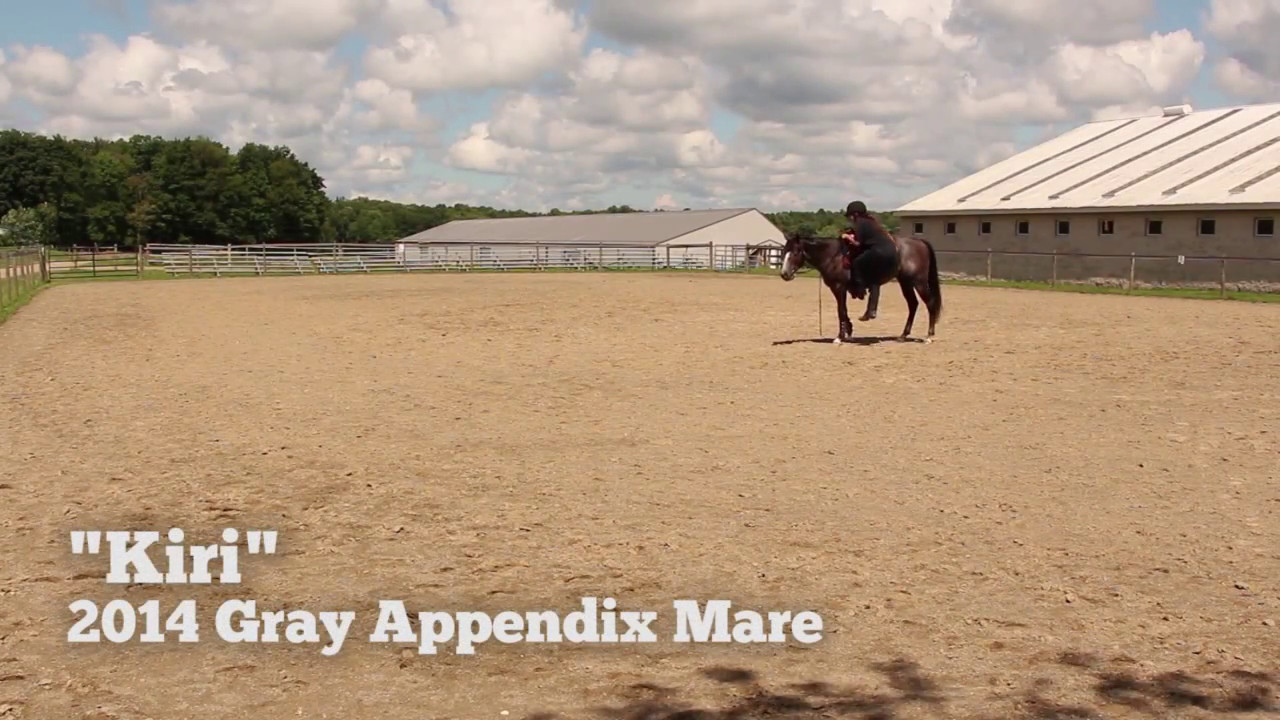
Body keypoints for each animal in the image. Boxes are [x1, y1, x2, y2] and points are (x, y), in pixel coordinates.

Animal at [778, 229, 942, 343]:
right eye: (784, 251)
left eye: (795, 253)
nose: (784, 274)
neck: (834, 256)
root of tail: (919, 242)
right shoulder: (839, 289)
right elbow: (843, 311)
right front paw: (849, 332)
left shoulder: (839, 288)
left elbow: (841, 311)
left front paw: (840, 337)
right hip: (906, 282)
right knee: (913, 305)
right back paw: (903, 335)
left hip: (919, 282)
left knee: (930, 303)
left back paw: (929, 336)